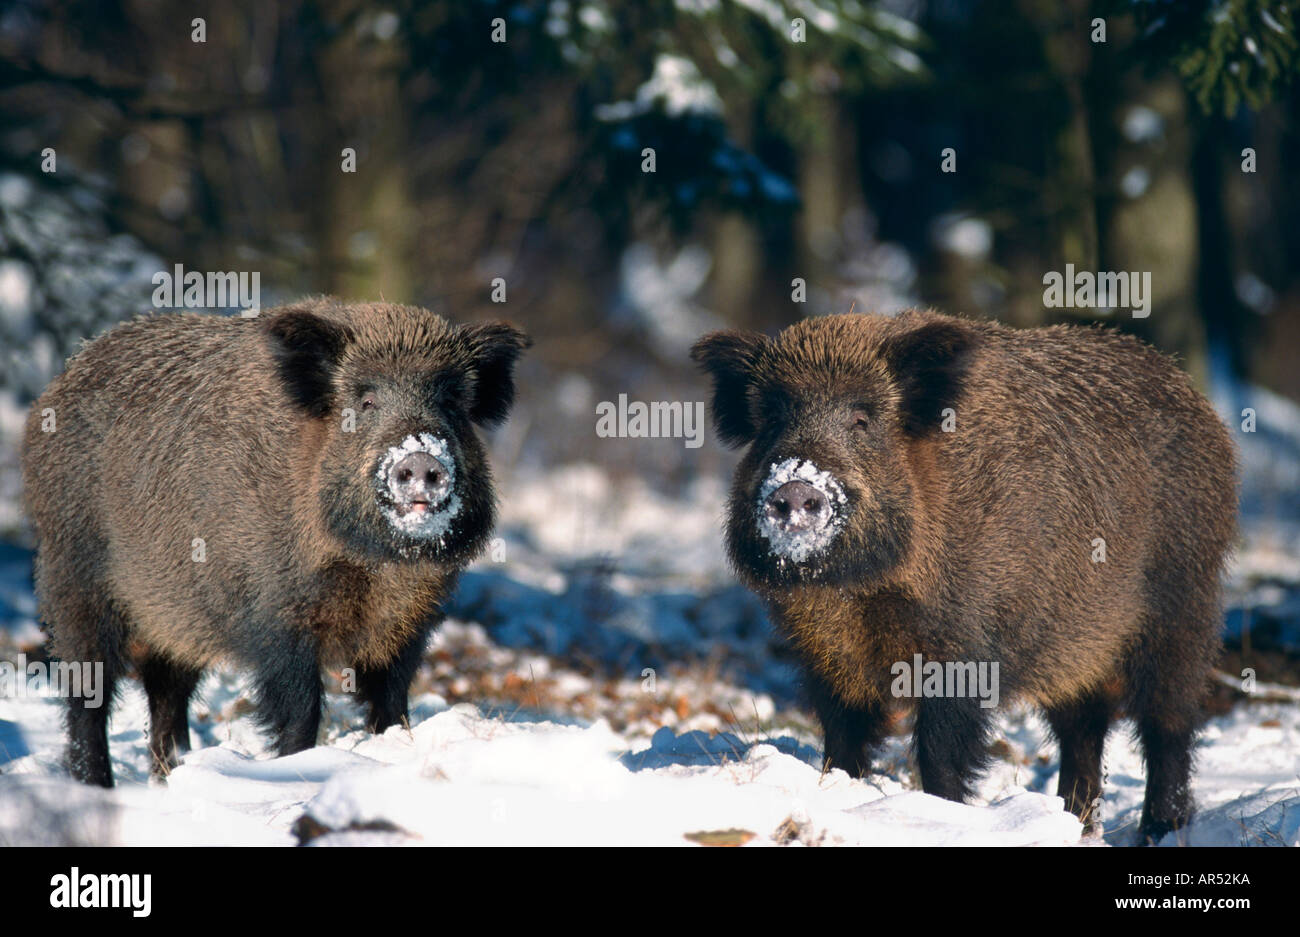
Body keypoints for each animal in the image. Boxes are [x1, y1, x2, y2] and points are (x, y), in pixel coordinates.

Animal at [22, 297, 529, 787]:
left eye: (451, 401)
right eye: (365, 400)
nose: (422, 457)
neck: (375, 567)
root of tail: (60, 381)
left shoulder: (411, 623)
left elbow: (391, 705)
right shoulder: (276, 617)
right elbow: (300, 711)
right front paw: (296, 770)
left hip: (174, 615)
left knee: (166, 692)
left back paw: (172, 777)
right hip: (74, 578)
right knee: (88, 693)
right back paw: (98, 786)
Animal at [691, 309, 1237, 842]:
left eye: (862, 418)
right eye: (773, 419)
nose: (796, 486)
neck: (859, 595)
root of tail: (1198, 403)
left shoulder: (964, 648)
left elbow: (941, 752)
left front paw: (944, 815)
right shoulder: (823, 656)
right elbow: (842, 741)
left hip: (1182, 603)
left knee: (1168, 722)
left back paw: (1159, 830)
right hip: (1075, 645)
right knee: (1083, 727)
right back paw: (1076, 825)